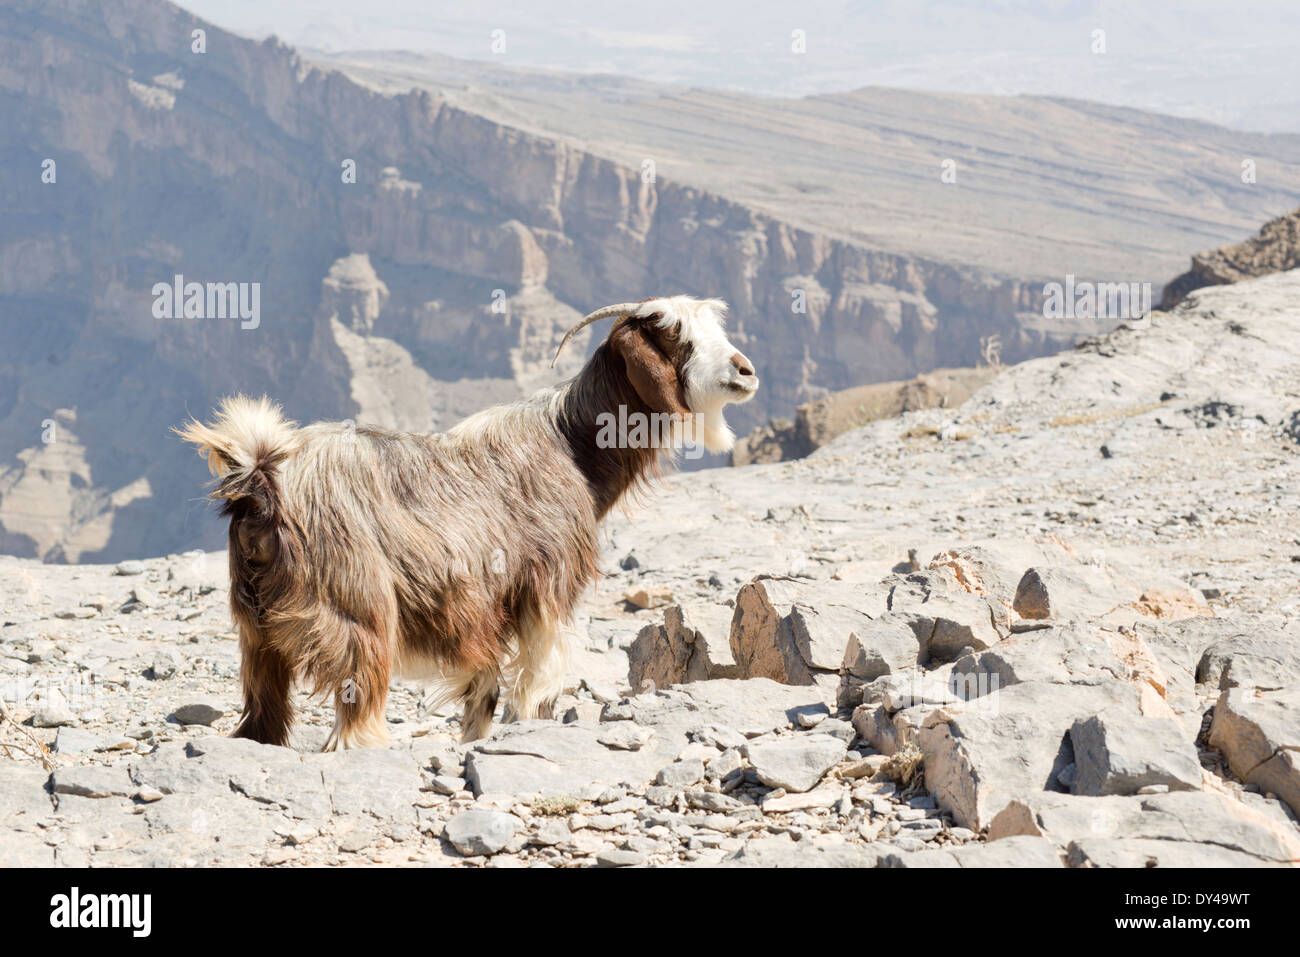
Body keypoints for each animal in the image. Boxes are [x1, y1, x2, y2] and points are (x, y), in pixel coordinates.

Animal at [177, 295, 758, 748]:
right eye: (674, 336)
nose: (744, 371)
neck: (571, 449)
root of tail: (262, 481)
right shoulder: (545, 591)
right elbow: (536, 683)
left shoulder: (484, 607)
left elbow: (484, 690)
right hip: (357, 613)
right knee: (354, 709)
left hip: (257, 633)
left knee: (263, 711)